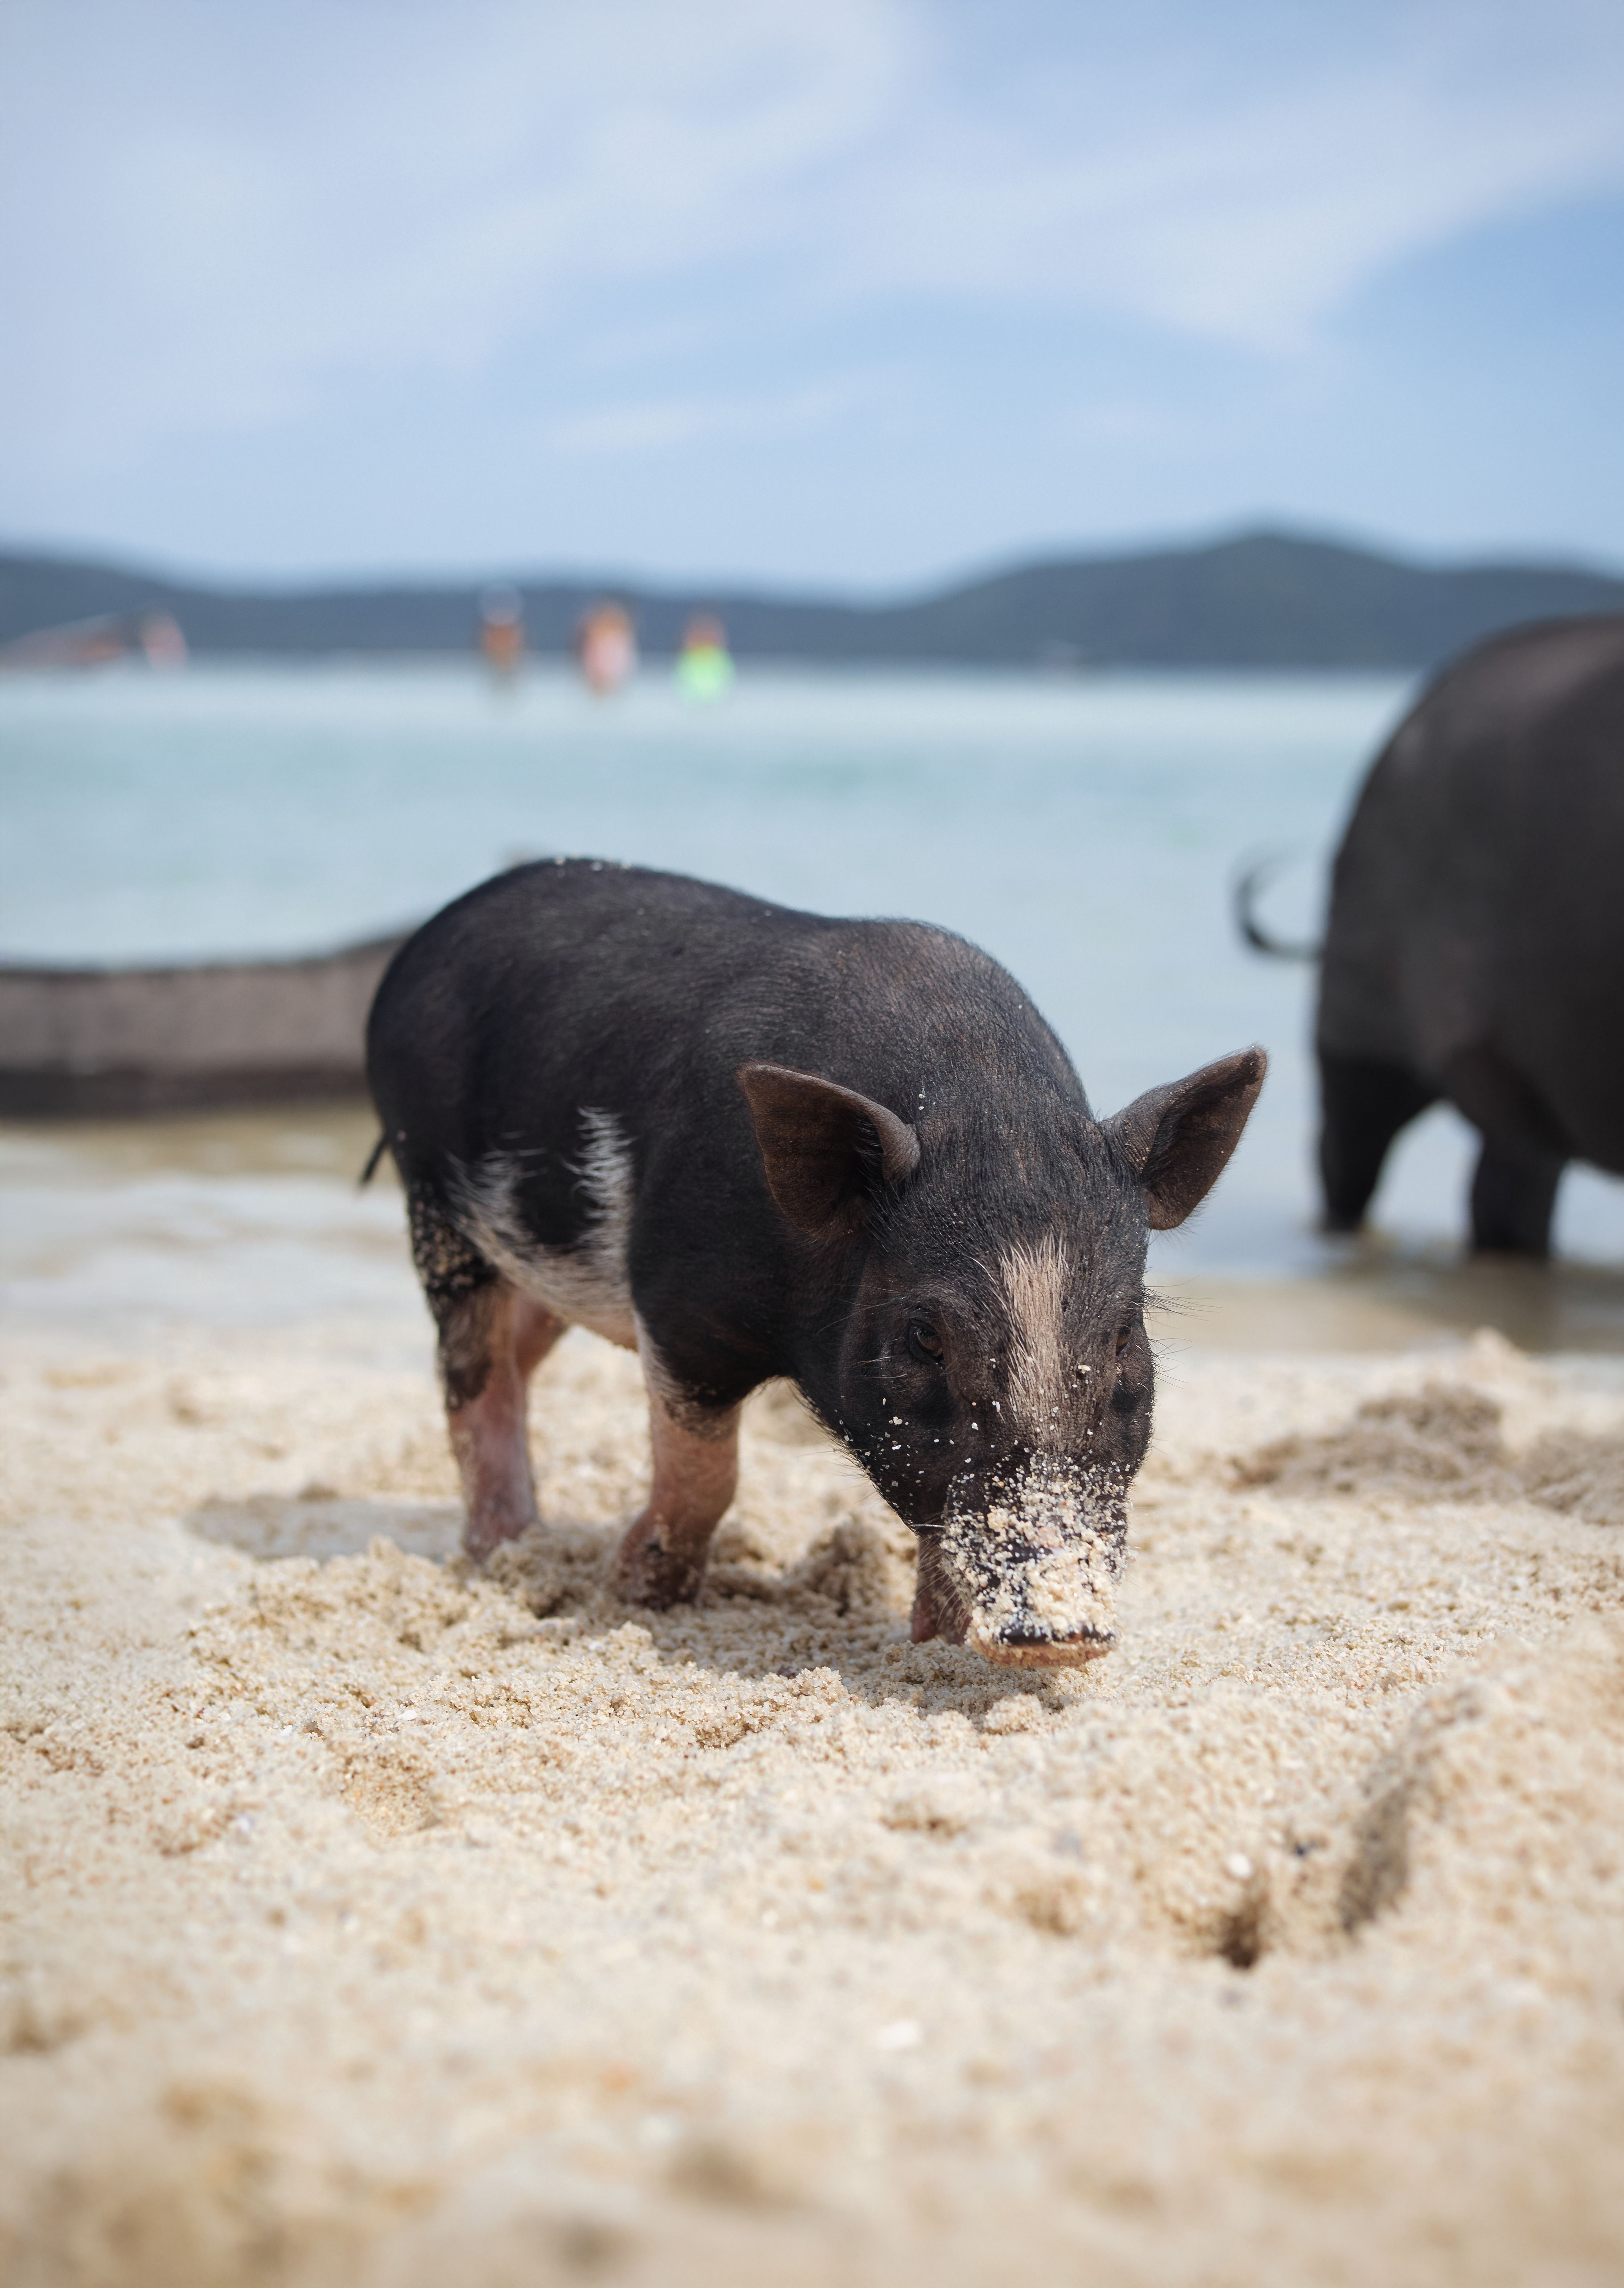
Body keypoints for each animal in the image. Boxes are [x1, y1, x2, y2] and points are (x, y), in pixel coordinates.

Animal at [365, 860, 1264, 1666]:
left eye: (1123, 1336)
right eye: (925, 1337)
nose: (1063, 1637)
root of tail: (426, 939)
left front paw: (936, 1641)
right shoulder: (675, 1308)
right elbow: (707, 1474)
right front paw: (633, 1595)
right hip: (435, 1206)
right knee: (470, 1380)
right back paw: (502, 1552)